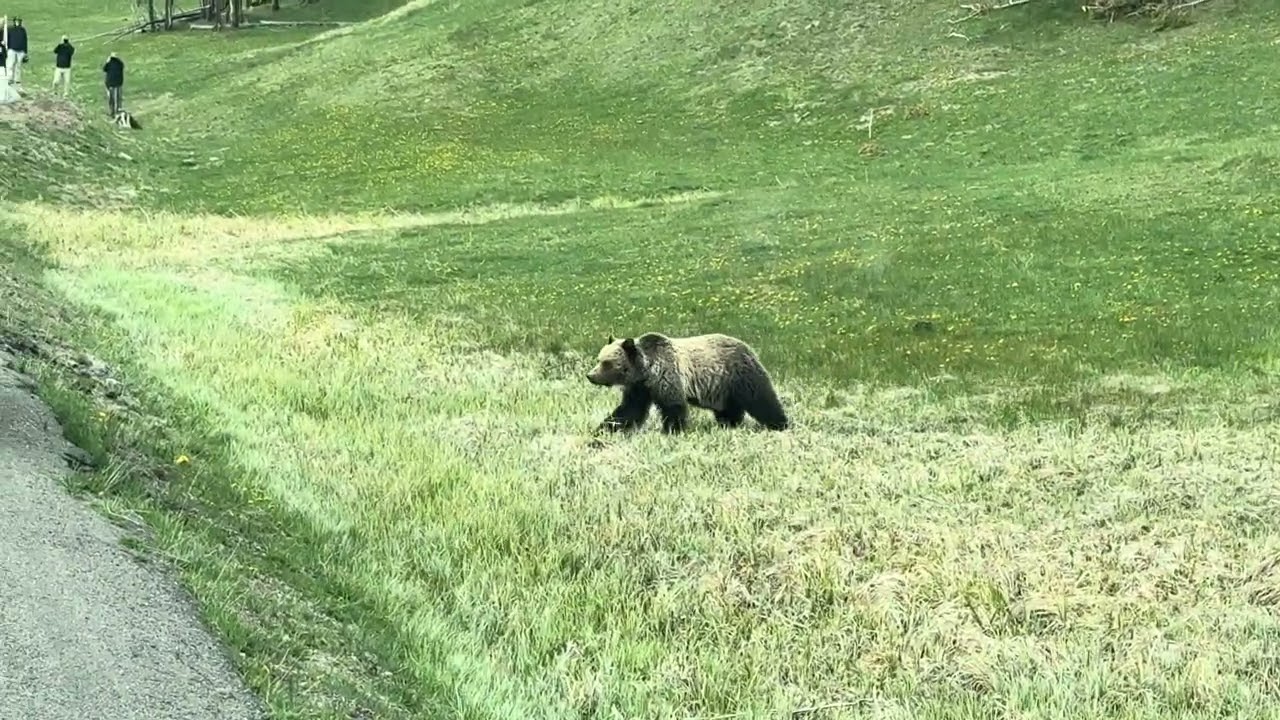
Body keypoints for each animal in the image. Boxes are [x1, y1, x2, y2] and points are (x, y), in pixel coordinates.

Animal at [586, 332, 790, 434]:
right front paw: (603, 430)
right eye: (599, 359)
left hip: (739, 375)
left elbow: (673, 407)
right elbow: (628, 410)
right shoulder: (640, 388)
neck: (646, 371)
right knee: (729, 409)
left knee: (762, 400)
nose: (590, 375)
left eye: (606, 363)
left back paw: (780, 424)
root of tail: (747, 346)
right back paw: (729, 424)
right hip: (723, 388)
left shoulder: (667, 377)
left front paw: (672, 431)